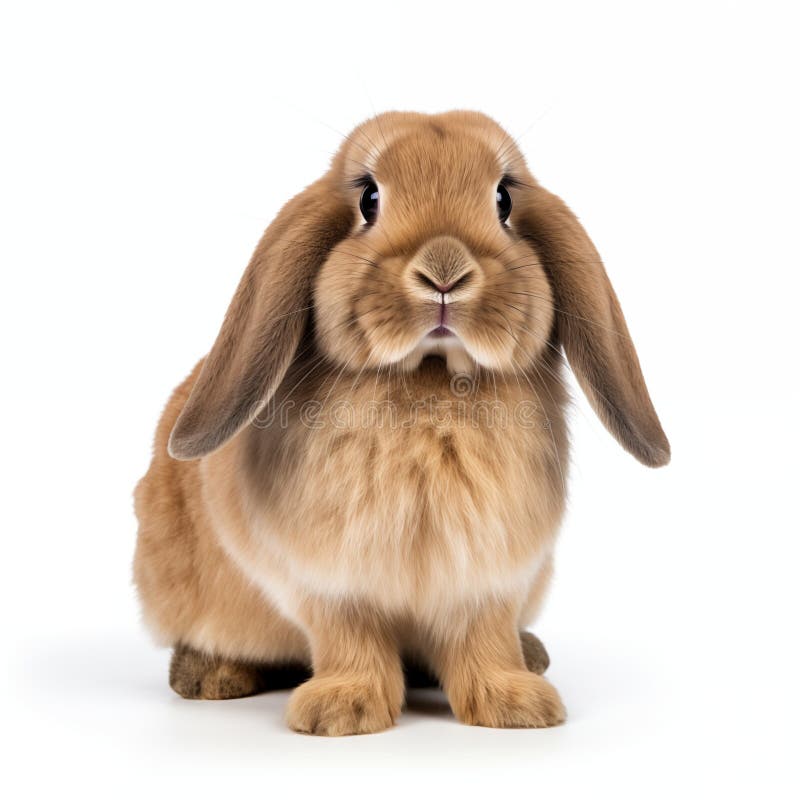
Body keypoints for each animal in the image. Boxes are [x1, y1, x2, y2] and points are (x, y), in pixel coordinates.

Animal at [134, 110, 669, 736]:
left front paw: (517, 704)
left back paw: (532, 655)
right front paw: (342, 711)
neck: (431, 383)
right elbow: (351, 638)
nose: (444, 272)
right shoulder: (330, 584)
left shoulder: (487, 581)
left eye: (504, 199)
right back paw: (211, 676)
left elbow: (484, 639)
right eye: (369, 198)